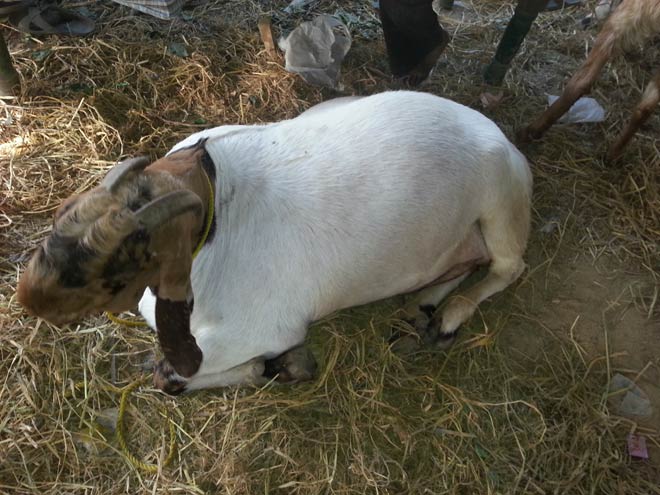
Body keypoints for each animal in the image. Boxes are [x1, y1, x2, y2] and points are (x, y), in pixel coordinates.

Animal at [17, 91, 533, 394]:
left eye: (124, 262)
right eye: (63, 217)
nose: (30, 299)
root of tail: (507, 142)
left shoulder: (264, 329)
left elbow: (172, 372)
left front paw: (274, 368)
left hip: (501, 203)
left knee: (508, 267)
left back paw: (450, 316)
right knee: (465, 262)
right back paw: (419, 306)